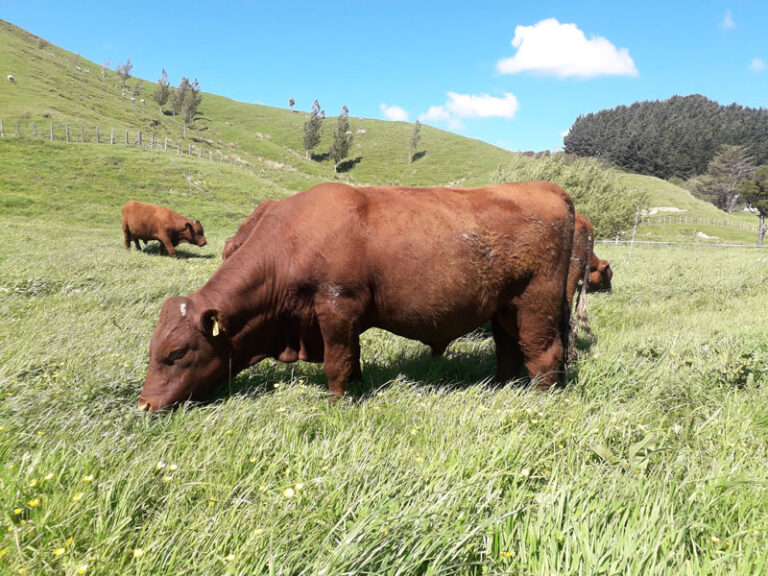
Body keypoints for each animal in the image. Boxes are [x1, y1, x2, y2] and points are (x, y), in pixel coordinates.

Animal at [138, 181, 575, 412]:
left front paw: (336, 402)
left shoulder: (336, 308)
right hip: (504, 309)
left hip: (536, 304)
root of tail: (546, 188)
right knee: (509, 350)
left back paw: (539, 400)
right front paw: (358, 386)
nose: (144, 404)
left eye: (177, 353)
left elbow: (337, 362)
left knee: (543, 353)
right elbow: (353, 357)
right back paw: (497, 389)